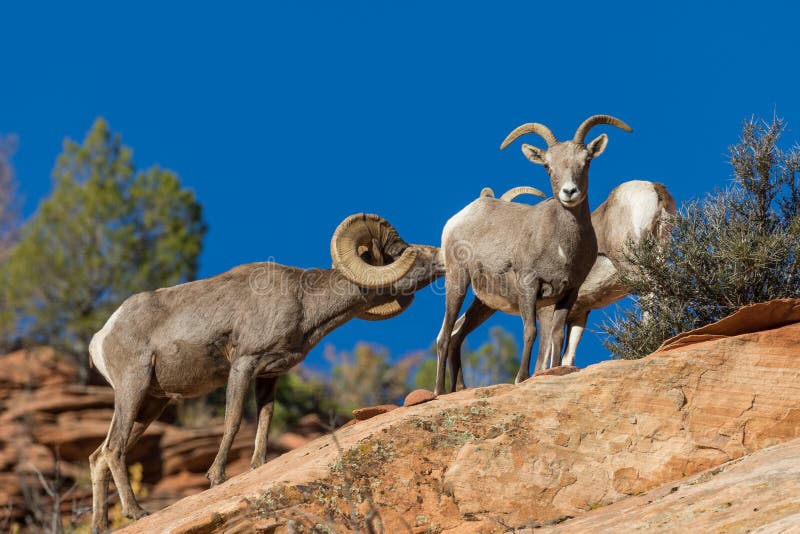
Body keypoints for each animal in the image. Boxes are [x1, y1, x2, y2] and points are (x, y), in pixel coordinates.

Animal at [88, 213, 442, 532]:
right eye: (402, 250)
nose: (441, 257)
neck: (304, 303)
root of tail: (102, 336)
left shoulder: (269, 376)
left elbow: (265, 422)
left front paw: (257, 467)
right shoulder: (244, 364)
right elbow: (233, 421)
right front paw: (217, 478)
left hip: (152, 404)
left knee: (98, 457)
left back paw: (100, 526)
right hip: (133, 389)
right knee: (113, 449)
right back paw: (136, 513)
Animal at [434, 115, 632, 395]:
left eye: (586, 162)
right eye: (548, 167)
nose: (569, 192)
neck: (562, 247)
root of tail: (459, 218)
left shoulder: (569, 292)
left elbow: (557, 335)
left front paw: (555, 371)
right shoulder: (530, 286)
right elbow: (530, 331)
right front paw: (521, 377)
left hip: (484, 303)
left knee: (457, 336)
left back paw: (459, 388)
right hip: (457, 281)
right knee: (444, 334)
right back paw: (438, 392)